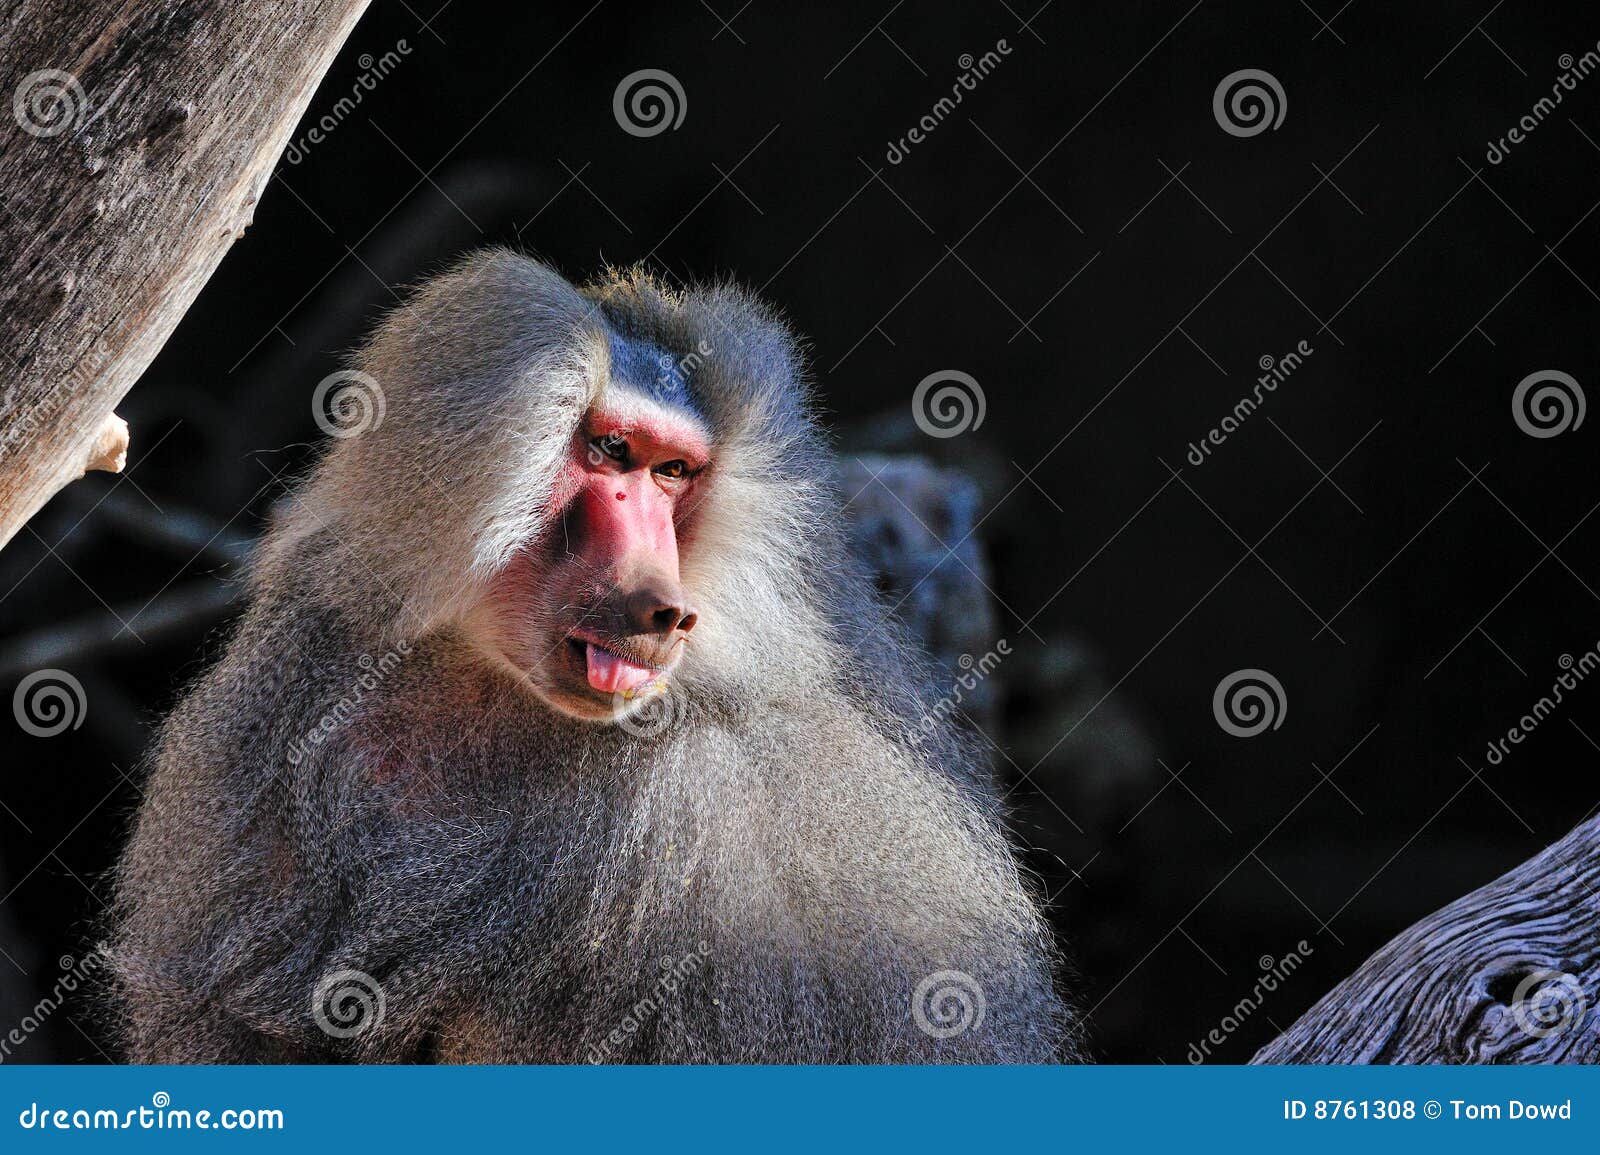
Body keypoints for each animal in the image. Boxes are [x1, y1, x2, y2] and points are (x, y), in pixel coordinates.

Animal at [105, 250, 1081, 1063]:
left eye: (675, 474)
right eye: (612, 451)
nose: (665, 607)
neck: (492, 683)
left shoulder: (702, 836)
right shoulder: (299, 680)